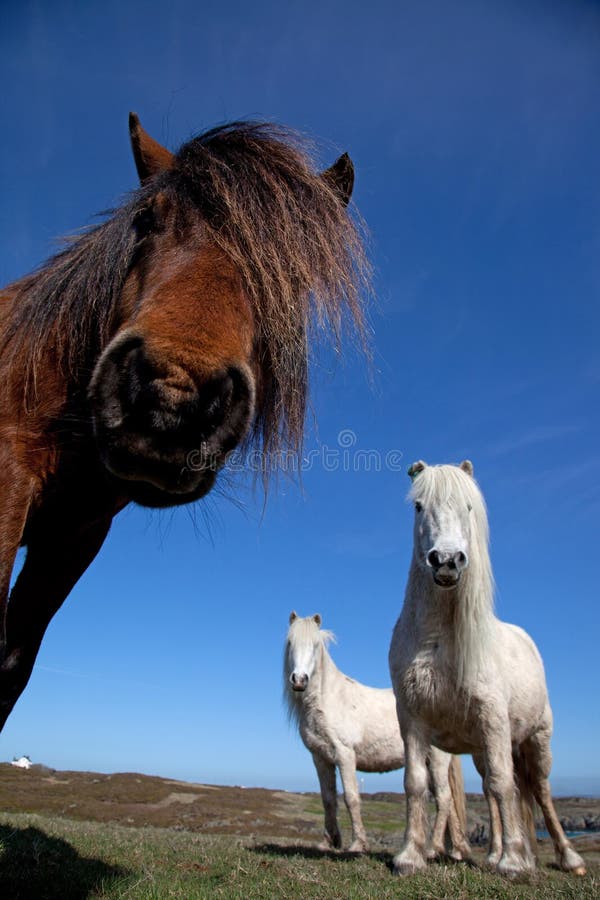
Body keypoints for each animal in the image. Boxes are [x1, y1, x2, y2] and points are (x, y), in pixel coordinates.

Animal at [284, 612, 471, 857]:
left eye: (315, 645)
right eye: (290, 643)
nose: (299, 680)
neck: (330, 699)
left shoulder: (345, 756)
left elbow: (351, 797)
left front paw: (358, 845)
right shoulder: (321, 758)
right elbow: (328, 799)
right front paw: (328, 842)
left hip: (438, 760)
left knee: (444, 799)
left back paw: (433, 848)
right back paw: (454, 850)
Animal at [388, 461, 586, 877]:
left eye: (468, 506)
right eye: (418, 506)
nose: (447, 561)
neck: (439, 641)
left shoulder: (493, 717)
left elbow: (502, 783)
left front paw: (514, 863)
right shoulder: (411, 719)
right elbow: (415, 783)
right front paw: (410, 856)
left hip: (536, 740)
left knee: (539, 790)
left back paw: (568, 858)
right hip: (481, 747)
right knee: (493, 793)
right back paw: (494, 853)